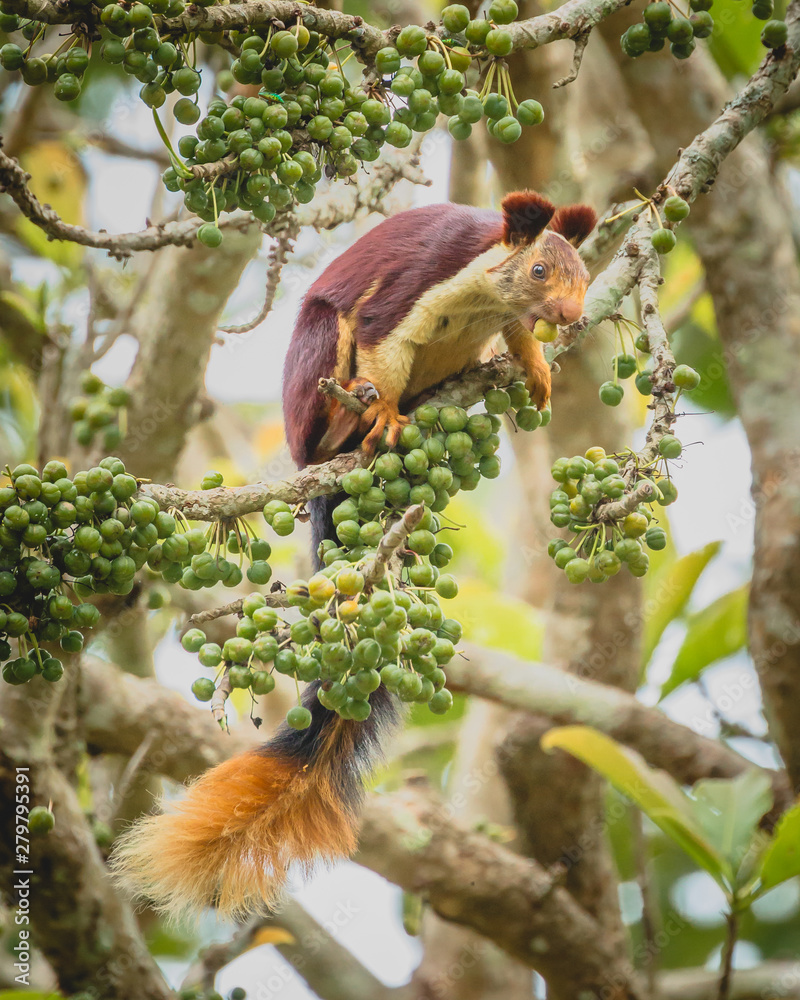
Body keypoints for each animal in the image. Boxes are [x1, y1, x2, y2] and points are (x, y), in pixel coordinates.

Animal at [112, 189, 596, 919]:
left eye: (582, 274)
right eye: (539, 271)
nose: (570, 315)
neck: (487, 288)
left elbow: (516, 338)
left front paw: (535, 365)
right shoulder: (412, 286)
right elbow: (377, 340)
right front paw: (389, 410)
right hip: (315, 370)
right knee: (340, 376)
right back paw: (355, 419)